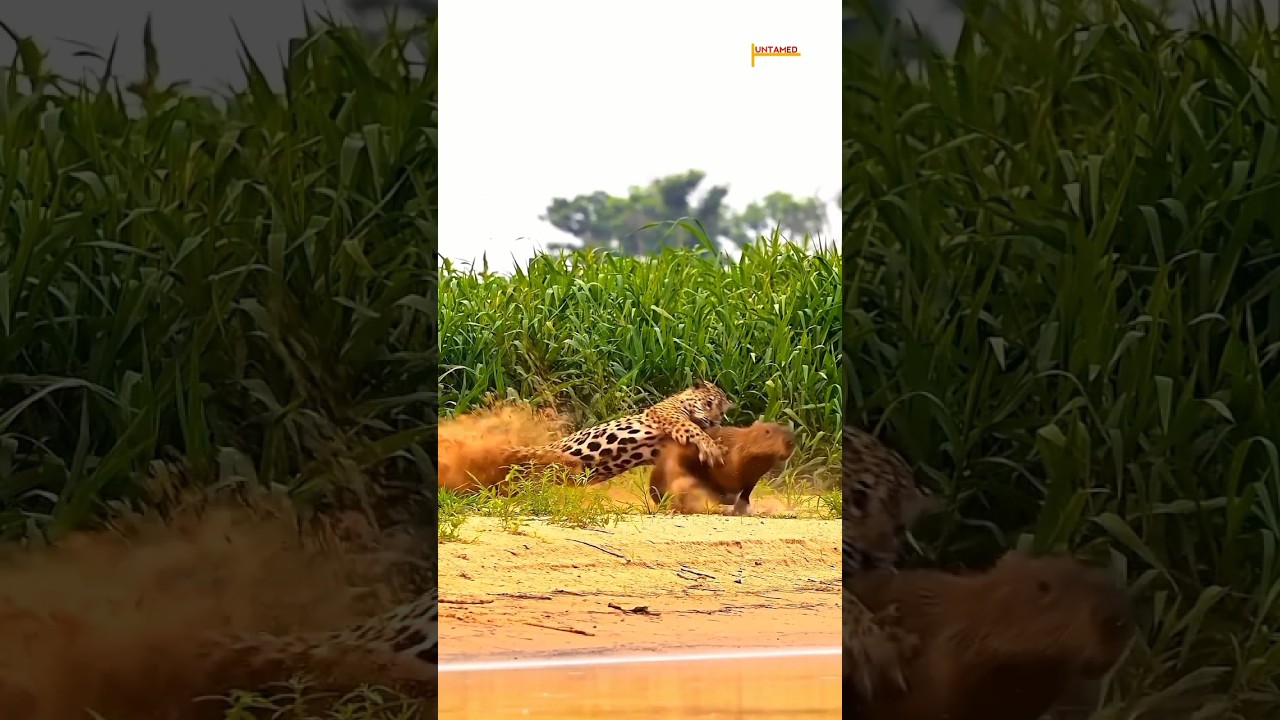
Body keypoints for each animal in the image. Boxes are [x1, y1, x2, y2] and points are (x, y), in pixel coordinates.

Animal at [516, 380, 734, 483]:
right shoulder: (669, 416)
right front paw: (712, 448)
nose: (715, 421)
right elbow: (694, 429)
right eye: (709, 403)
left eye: (722, 412)